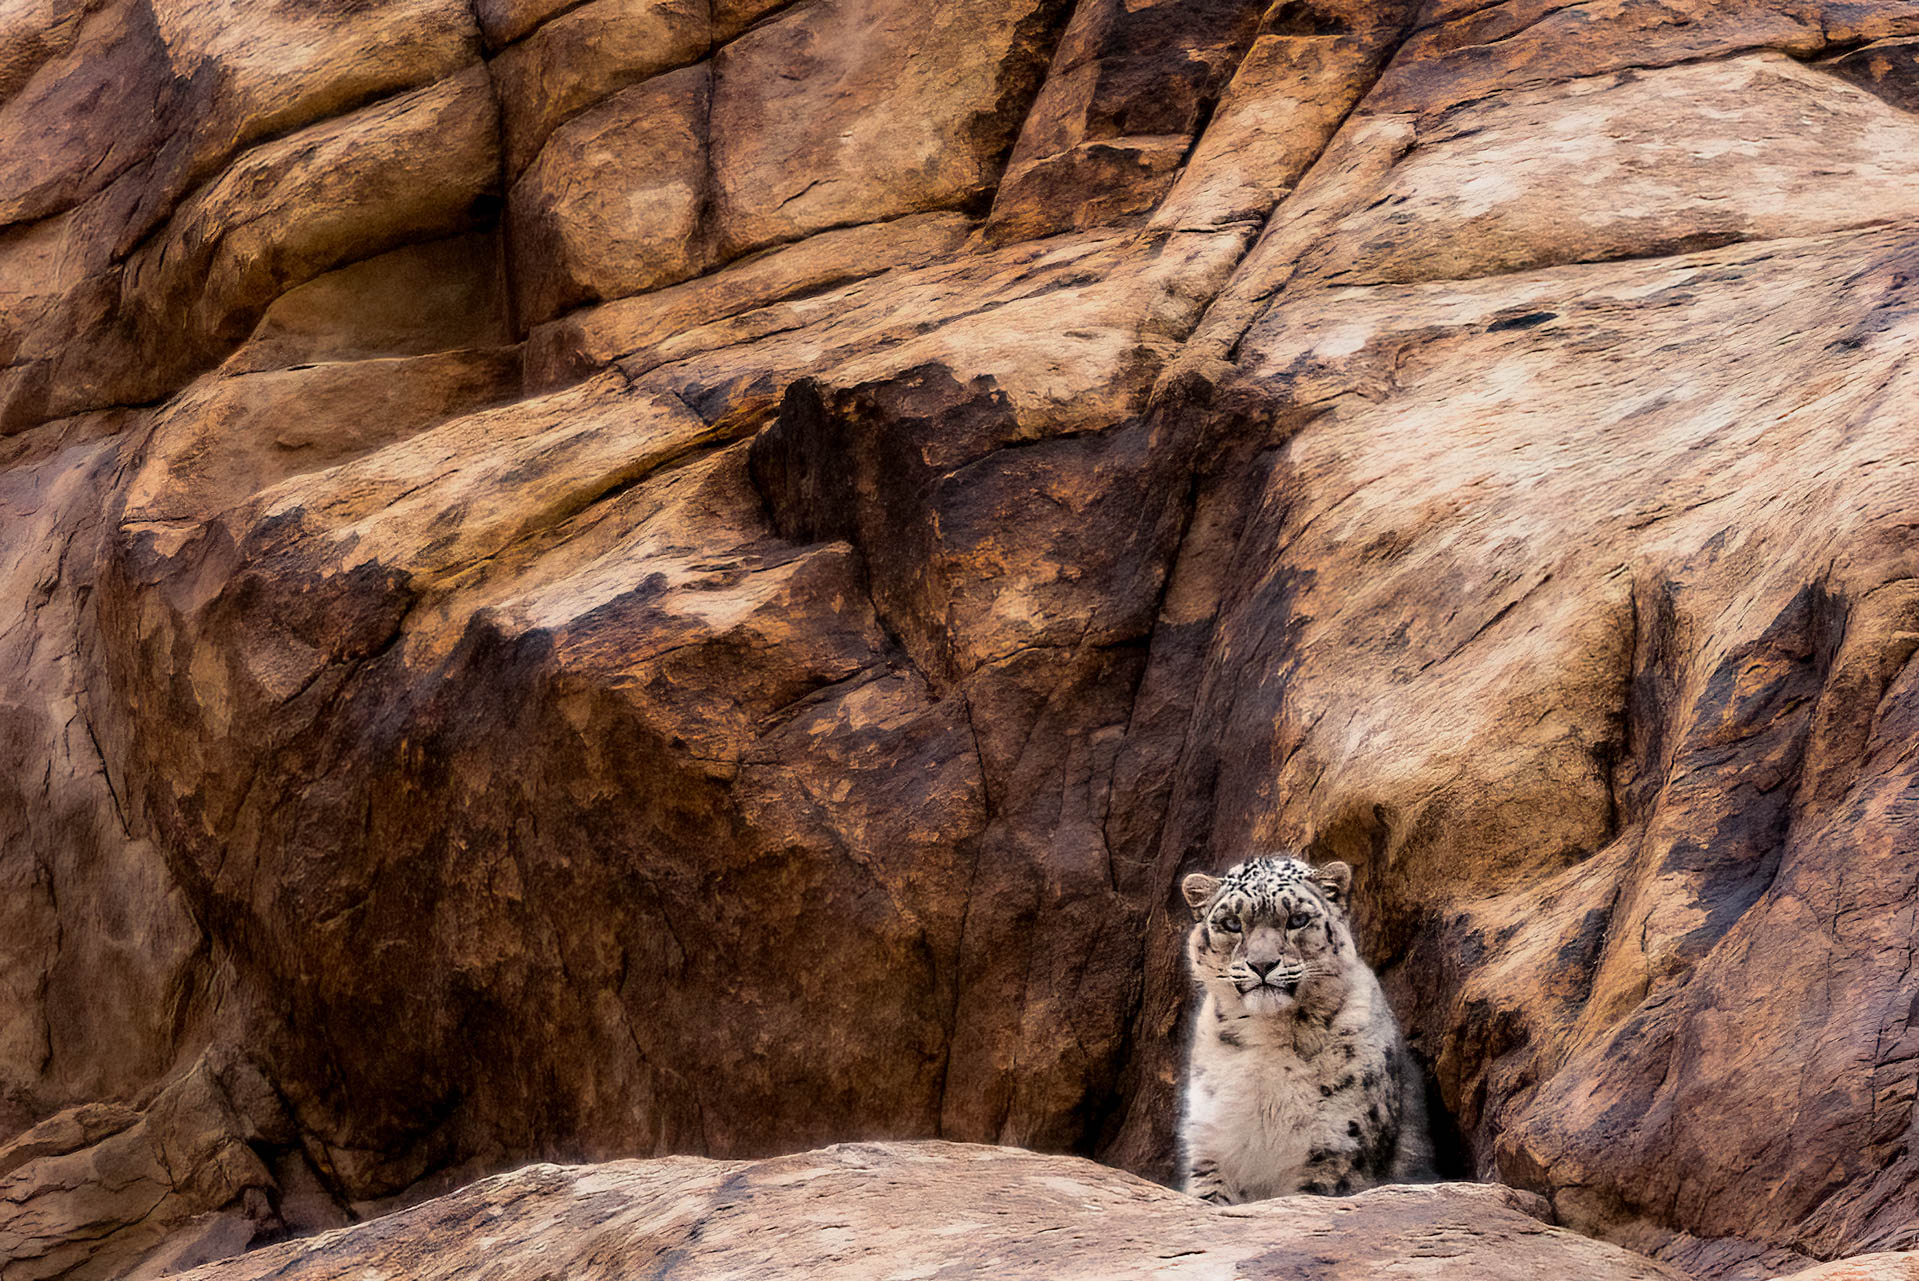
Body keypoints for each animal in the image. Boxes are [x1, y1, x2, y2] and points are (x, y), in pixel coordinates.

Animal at [1177, 854, 1431, 1204]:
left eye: (1297, 919)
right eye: (1231, 923)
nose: (1262, 964)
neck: (1268, 1034)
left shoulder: (1337, 1153)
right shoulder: (1211, 1146)